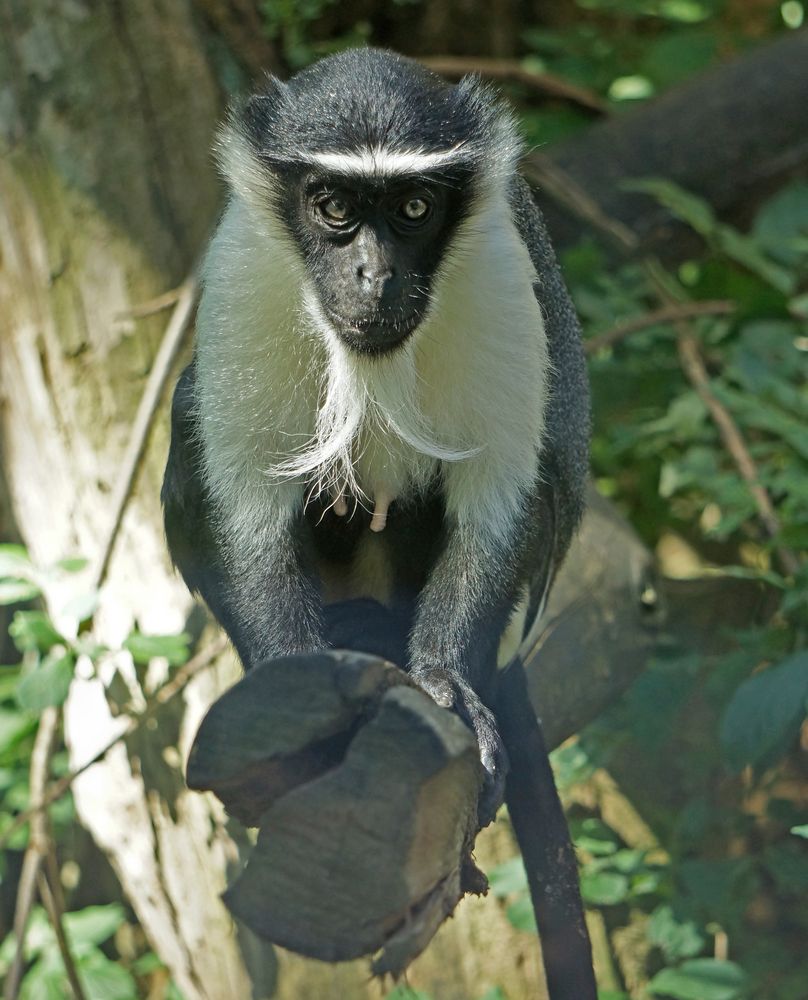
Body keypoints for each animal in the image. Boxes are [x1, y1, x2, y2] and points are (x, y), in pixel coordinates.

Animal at [162, 48, 595, 998]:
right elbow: (244, 506)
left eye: (414, 209)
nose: (373, 276)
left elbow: (504, 494)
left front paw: (443, 686)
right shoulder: (246, 265)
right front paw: (294, 696)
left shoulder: (497, 261)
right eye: (333, 207)